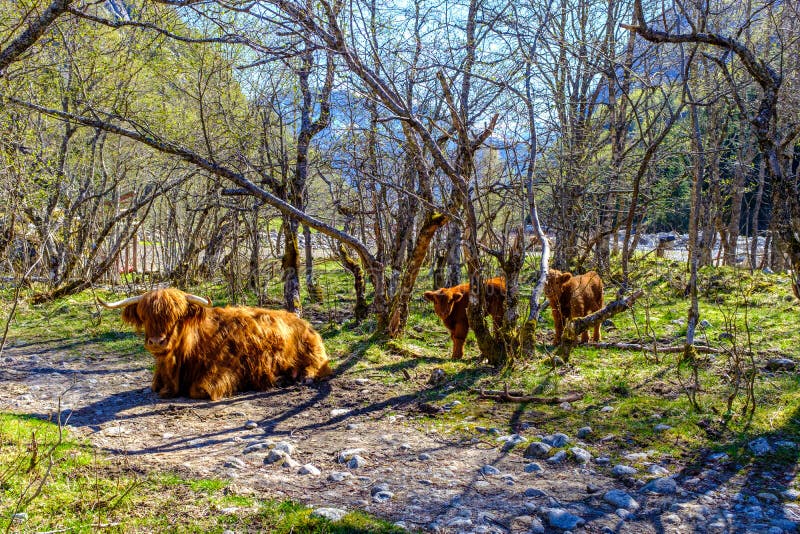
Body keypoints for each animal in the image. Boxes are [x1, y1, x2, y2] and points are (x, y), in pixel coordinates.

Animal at [98, 288, 331, 400]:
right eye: (144, 316)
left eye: (176, 317)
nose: (156, 341)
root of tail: (301, 320)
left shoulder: (225, 371)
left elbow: (197, 390)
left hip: (314, 354)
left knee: (317, 368)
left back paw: (294, 378)